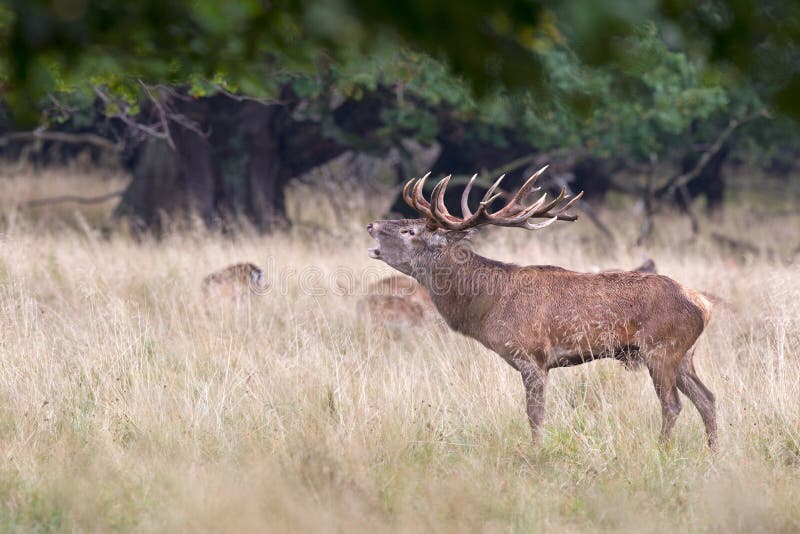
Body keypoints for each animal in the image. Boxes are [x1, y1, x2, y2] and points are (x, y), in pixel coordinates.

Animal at [366, 166, 716, 448]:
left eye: (409, 231)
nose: (371, 225)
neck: (486, 307)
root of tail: (703, 305)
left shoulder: (531, 354)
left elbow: (534, 414)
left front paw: (536, 452)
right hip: (683, 355)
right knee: (708, 399)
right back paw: (713, 453)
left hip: (662, 348)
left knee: (672, 405)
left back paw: (663, 450)